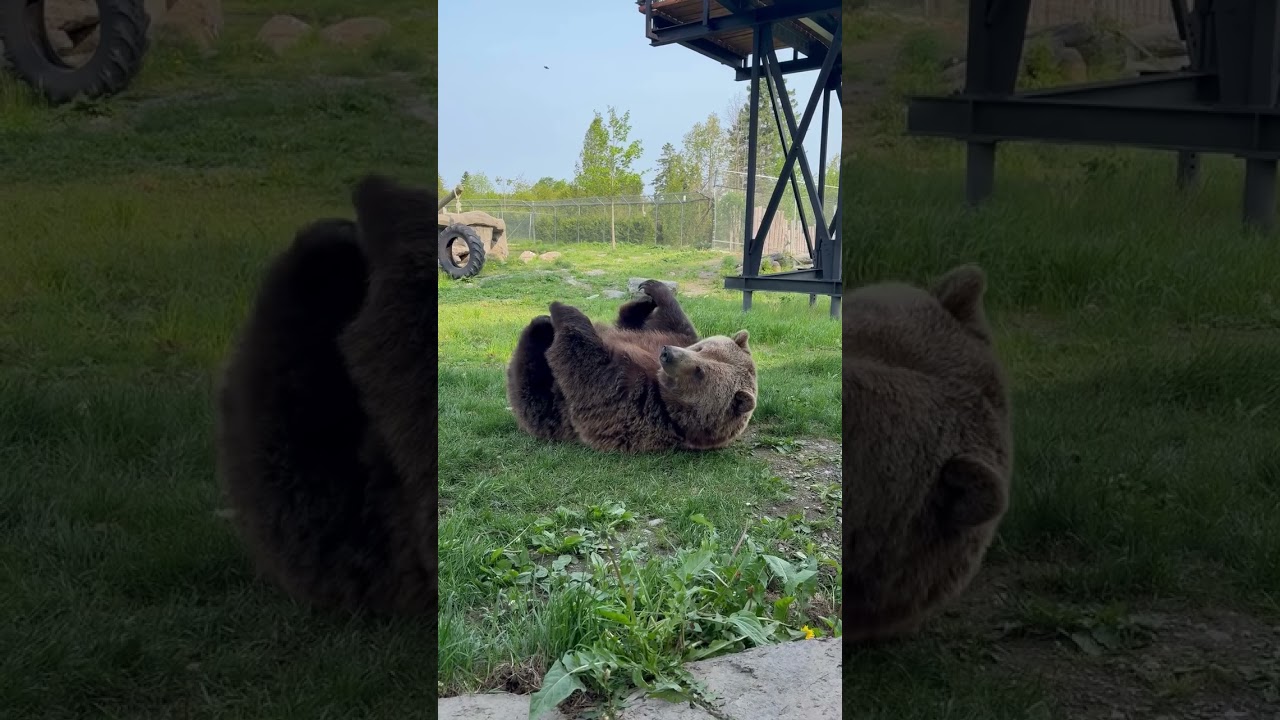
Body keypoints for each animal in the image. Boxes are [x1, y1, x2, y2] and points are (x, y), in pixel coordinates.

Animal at [506, 280, 758, 453]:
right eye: (701, 349)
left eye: (700, 373)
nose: (667, 354)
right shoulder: (664, 338)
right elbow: (672, 322)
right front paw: (652, 290)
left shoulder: (636, 400)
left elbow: (592, 367)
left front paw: (563, 309)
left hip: (553, 412)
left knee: (532, 389)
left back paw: (541, 328)